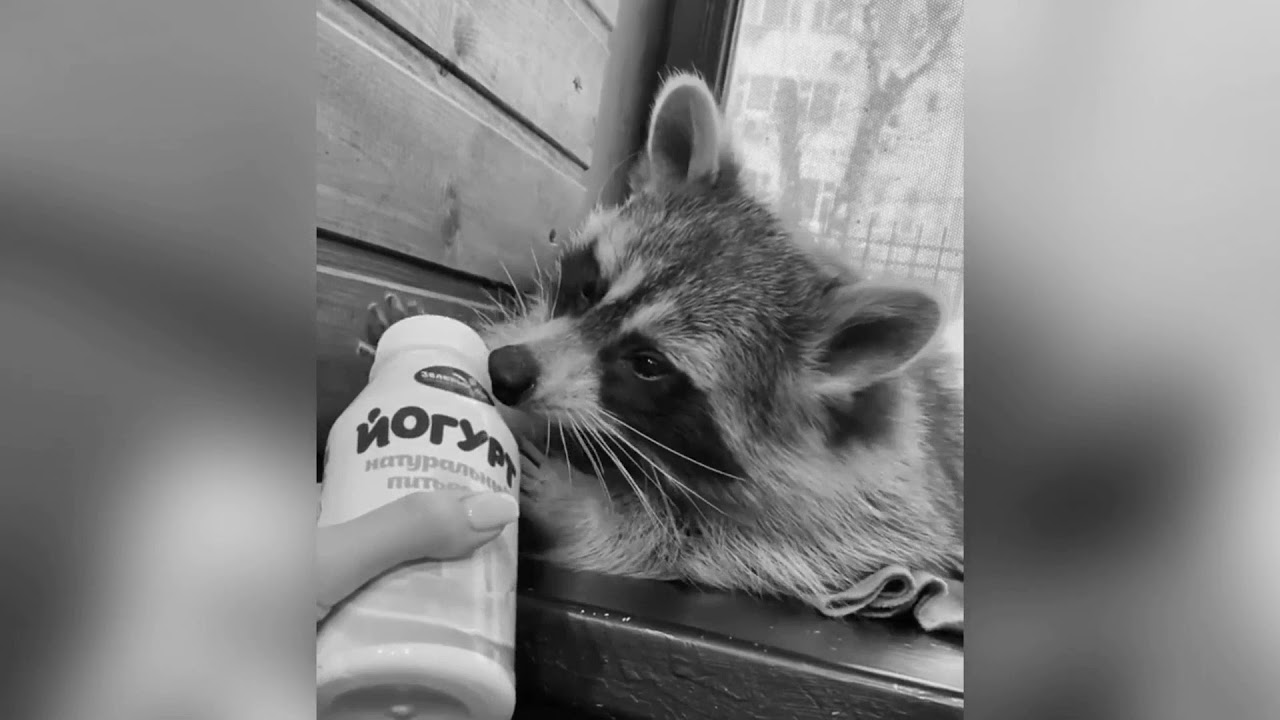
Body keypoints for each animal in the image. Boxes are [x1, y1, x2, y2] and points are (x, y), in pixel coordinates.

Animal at [365, 73, 963, 613]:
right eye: (589, 287)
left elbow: (733, 553)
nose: (507, 371)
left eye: (648, 364)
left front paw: (583, 509)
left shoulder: (874, 518)